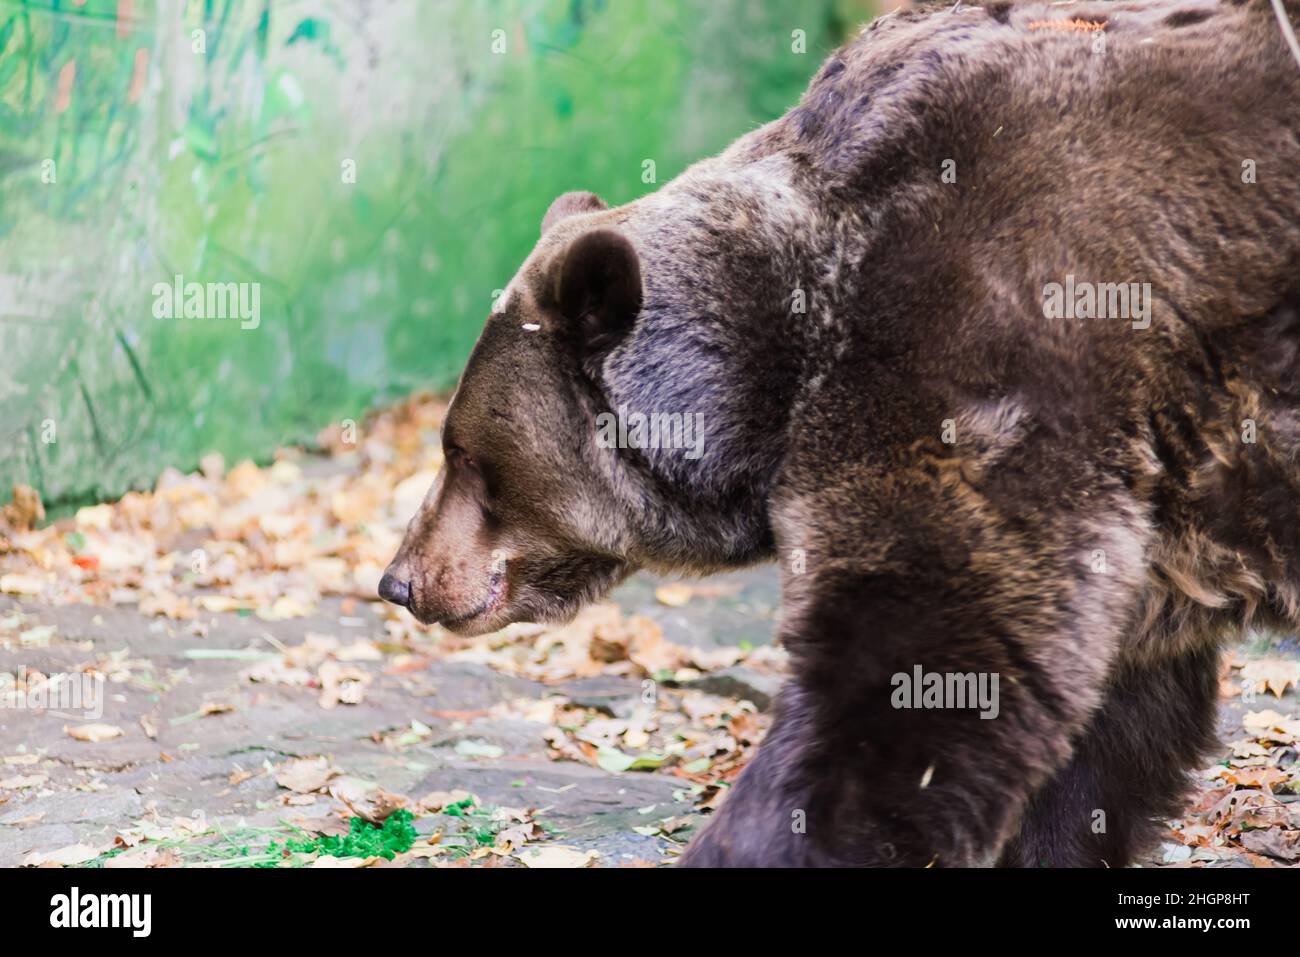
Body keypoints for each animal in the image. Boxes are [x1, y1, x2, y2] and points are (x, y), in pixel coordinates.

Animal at [380, 0, 1300, 867]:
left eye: (462, 453)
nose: (401, 580)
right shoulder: (1137, 506)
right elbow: (1106, 728)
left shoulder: (989, 356)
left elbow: (915, 673)